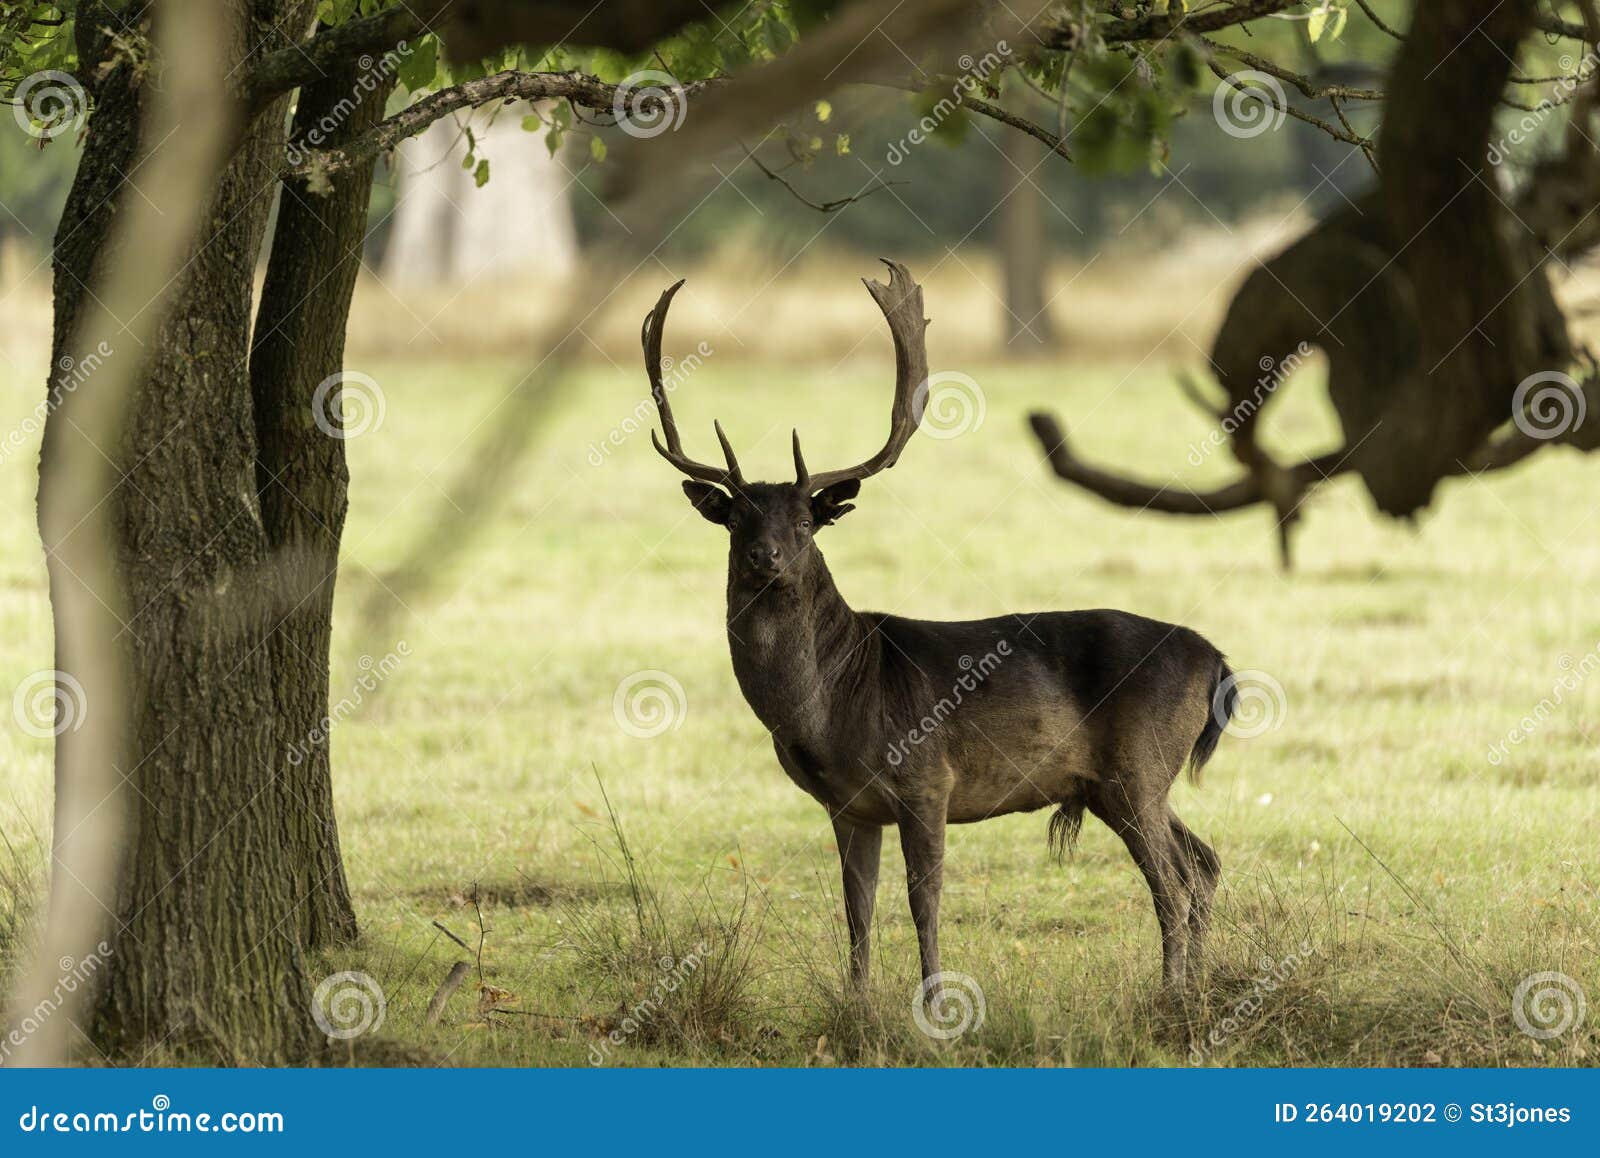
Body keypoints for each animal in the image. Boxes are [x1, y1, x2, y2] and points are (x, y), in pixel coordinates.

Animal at [642, 260, 1236, 998]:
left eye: (806, 522)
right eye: (736, 522)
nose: (766, 557)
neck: (833, 706)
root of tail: (1217, 661)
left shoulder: (927, 779)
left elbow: (923, 900)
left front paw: (933, 998)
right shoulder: (848, 806)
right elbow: (857, 908)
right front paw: (857, 1002)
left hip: (1140, 764)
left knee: (1173, 882)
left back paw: (1171, 991)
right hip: (1119, 782)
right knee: (1204, 862)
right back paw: (1197, 986)